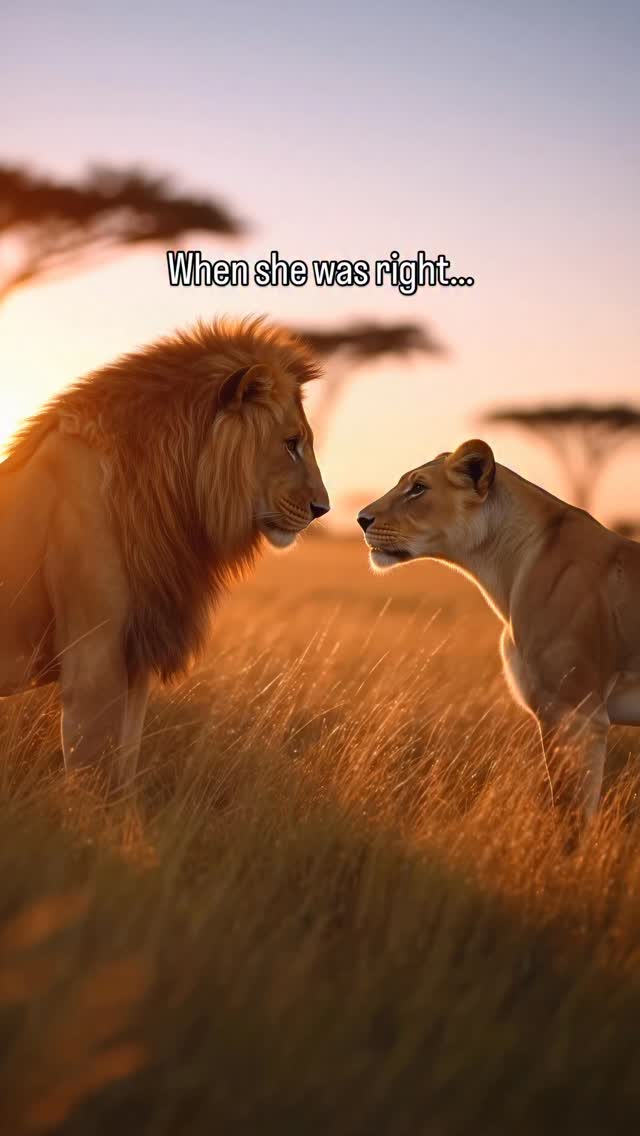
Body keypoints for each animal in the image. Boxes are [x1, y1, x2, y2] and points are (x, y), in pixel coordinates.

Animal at [0, 316, 329, 785]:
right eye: (291, 443)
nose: (324, 508)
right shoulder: (94, 663)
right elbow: (93, 780)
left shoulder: (137, 657)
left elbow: (123, 776)